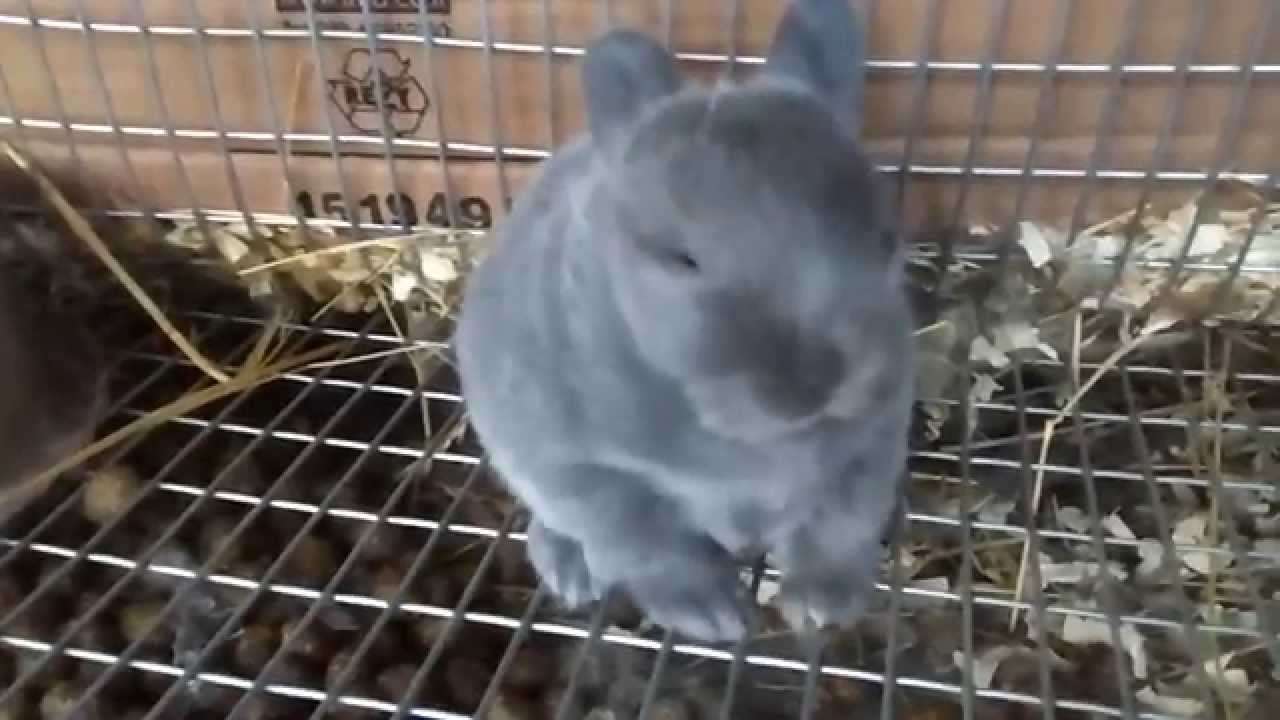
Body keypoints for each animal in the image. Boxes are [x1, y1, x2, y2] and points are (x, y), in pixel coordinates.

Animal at [455, 0, 913, 644]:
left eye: (884, 237)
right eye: (682, 258)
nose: (816, 383)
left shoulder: (869, 448)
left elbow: (837, 529)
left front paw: (821, 602)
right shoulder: (582, 472)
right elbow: (653, 547)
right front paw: (709, 613)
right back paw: (570, 569)